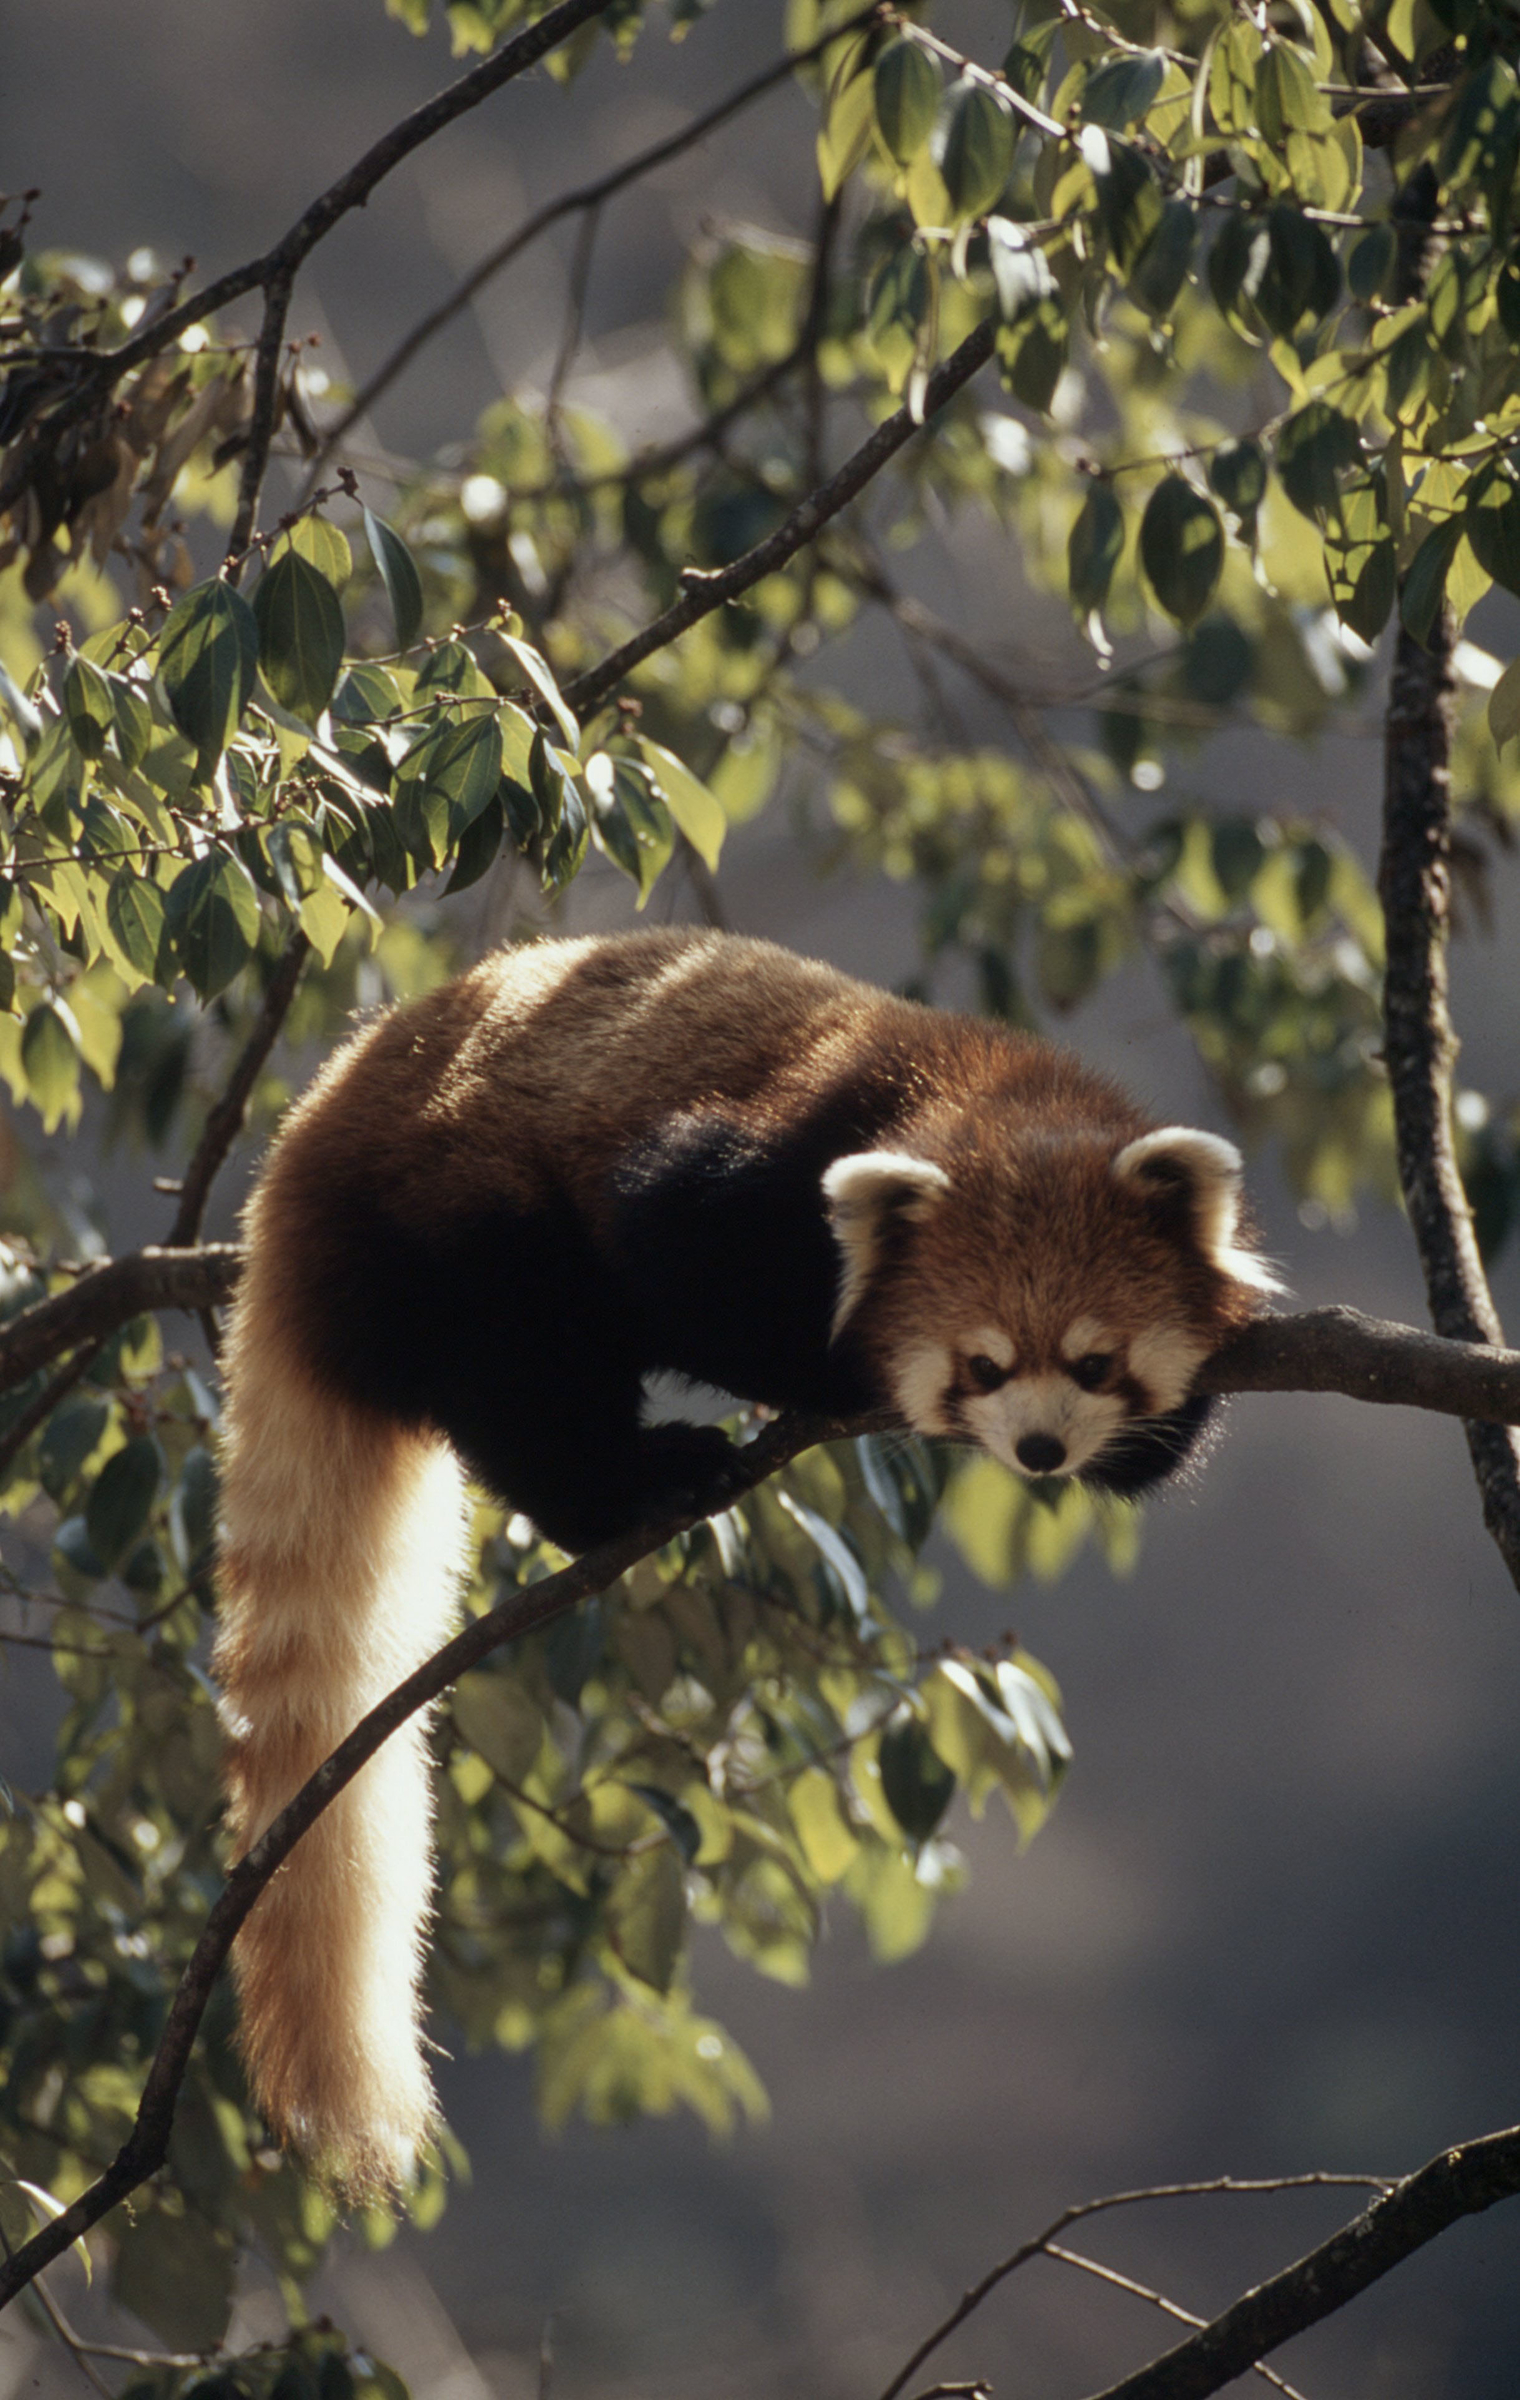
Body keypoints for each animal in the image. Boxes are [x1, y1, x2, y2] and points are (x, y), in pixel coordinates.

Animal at [213, 927, 1278, 2195]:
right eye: (979, 1365)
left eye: (1093, 1363)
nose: (1035, 1449)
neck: (980, 1093)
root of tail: (294, 1164)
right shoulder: (741, 1166)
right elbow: (676, 1257)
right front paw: (828, 1368)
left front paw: (1161, 1429)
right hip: (441, 1216)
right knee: (524, 1357)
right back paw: (630, 1480)